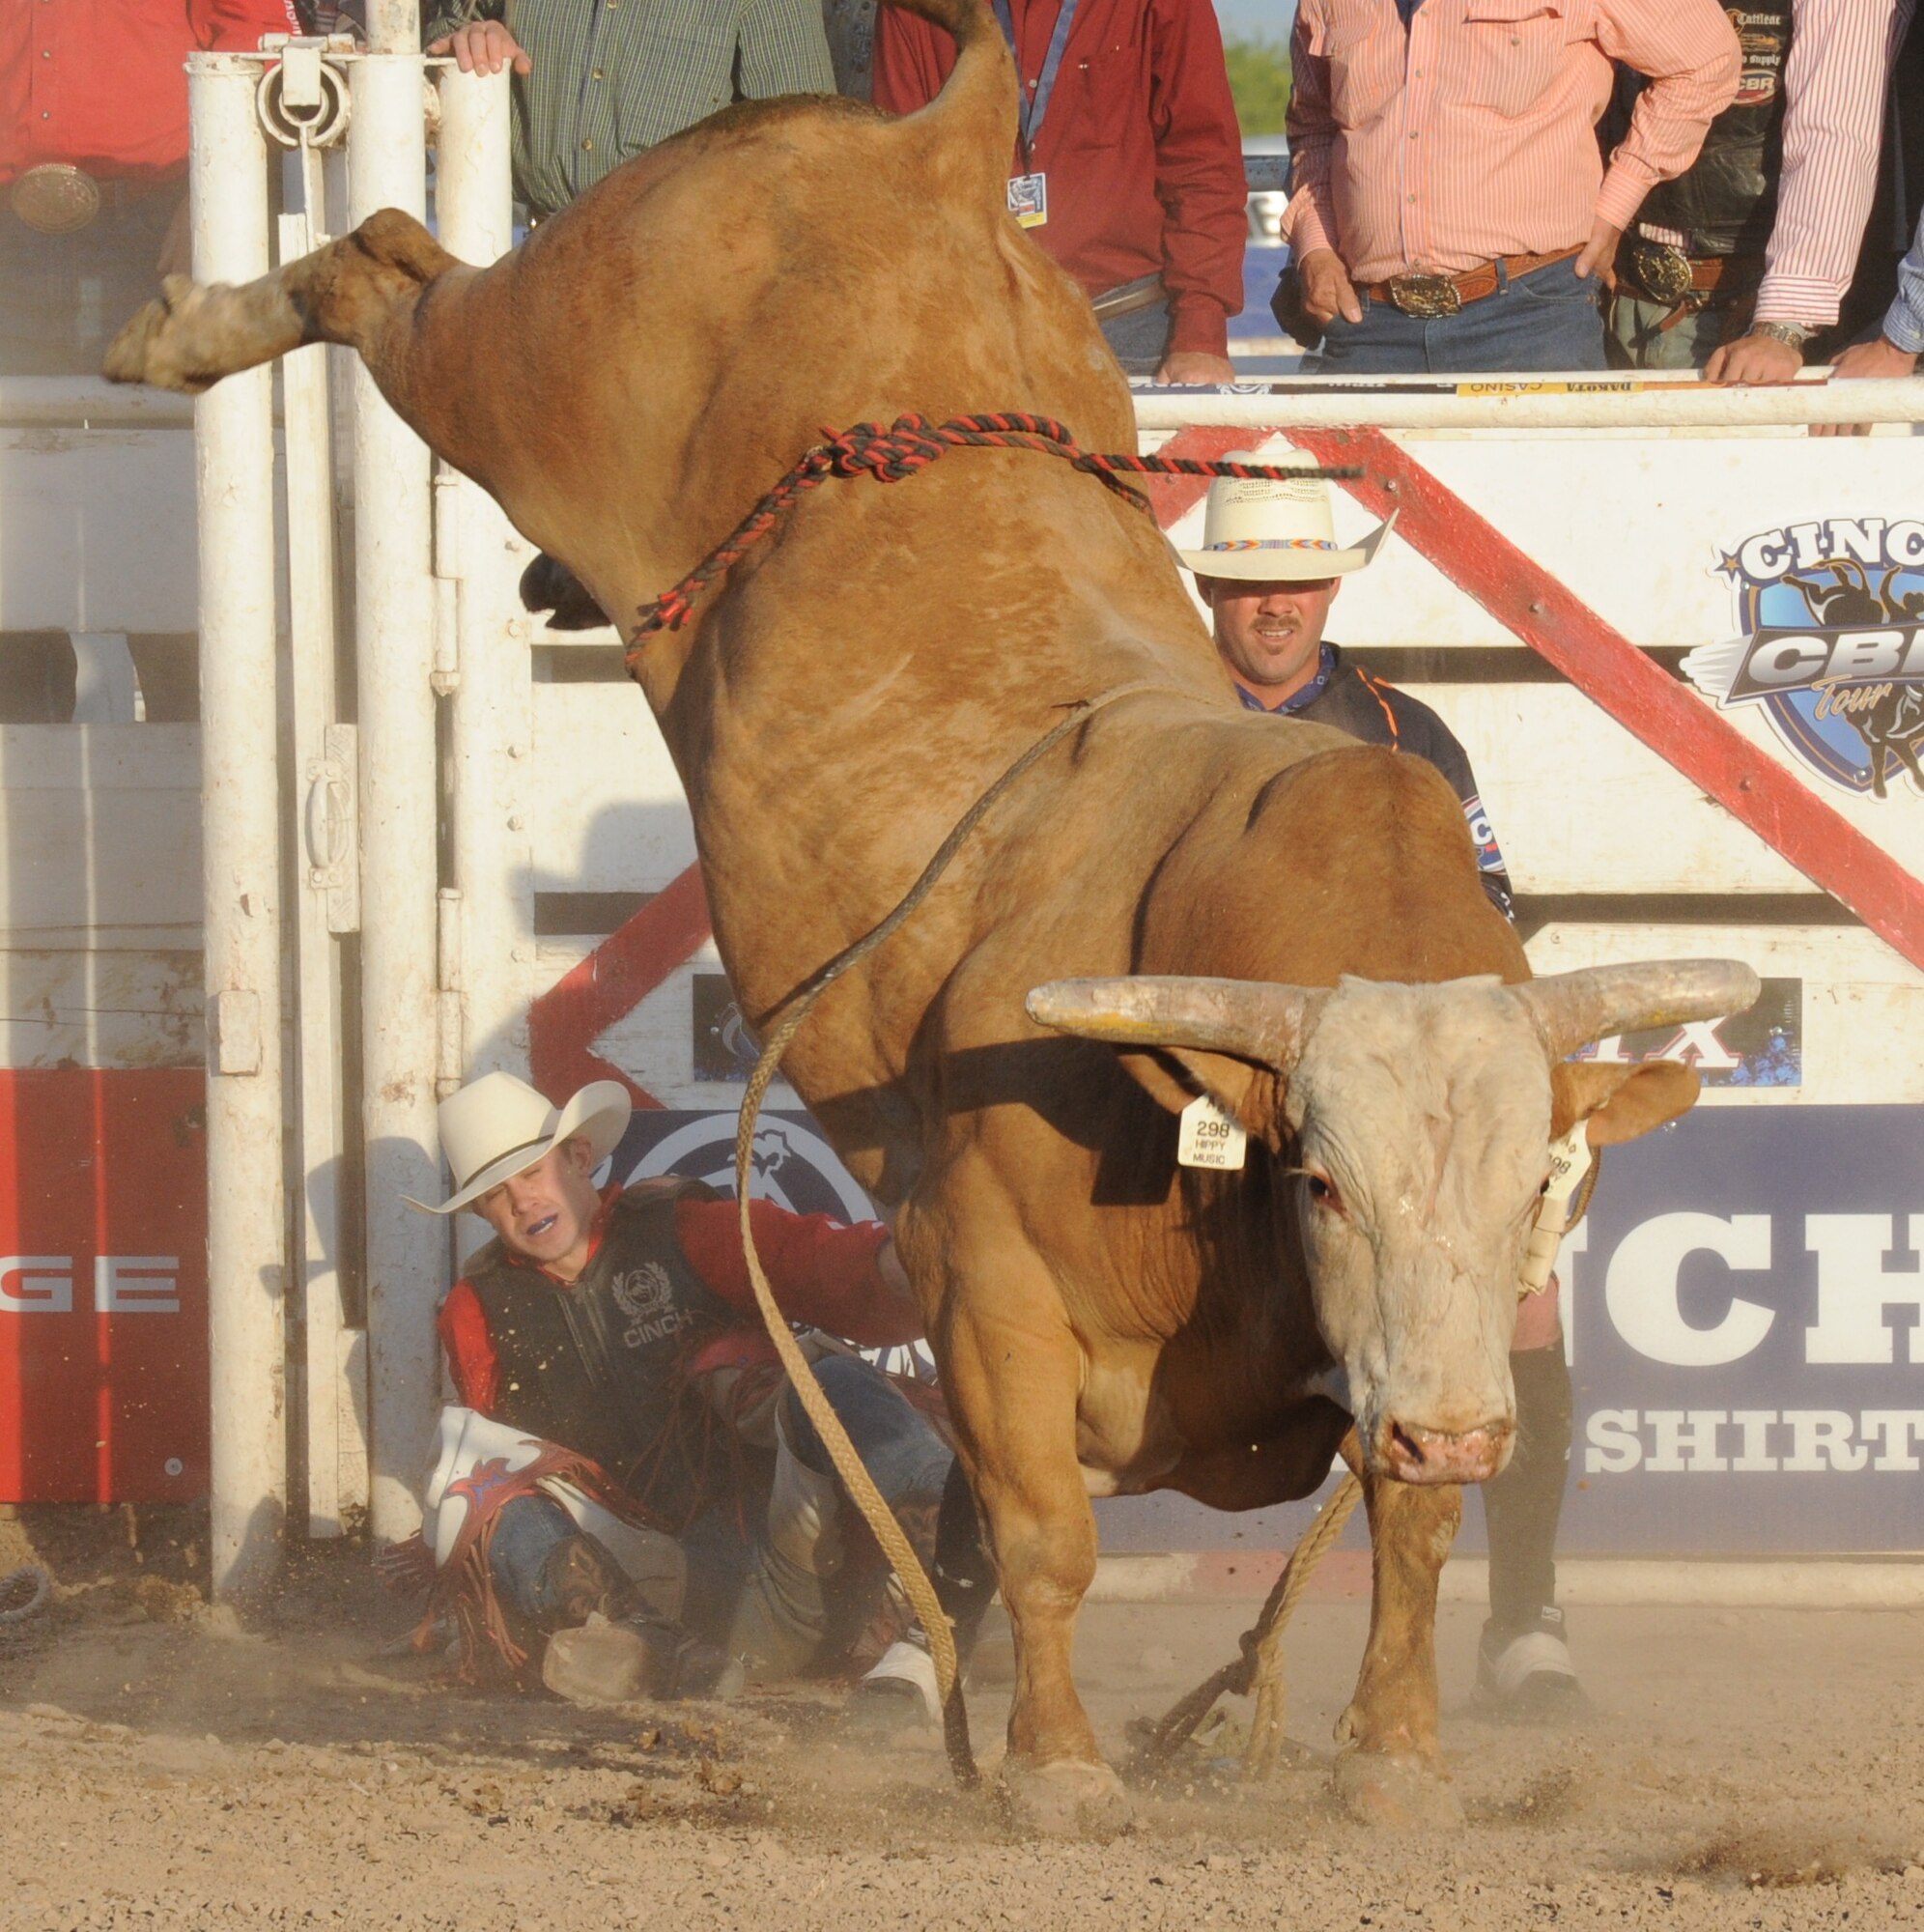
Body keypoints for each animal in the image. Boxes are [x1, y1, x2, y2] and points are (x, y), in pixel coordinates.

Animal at [105, 0, 1756, 1833]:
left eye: (1540, 1179)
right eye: (1322, 1181)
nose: (1464, 1428)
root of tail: (940, 151)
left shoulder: (1412, 1368)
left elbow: (1404, 1528)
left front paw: (1393, 1761)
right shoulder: (985, 1295)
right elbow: (1039, 1538)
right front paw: (1051, 1767)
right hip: (540, 359)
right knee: (393, 269)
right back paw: (180, 331)